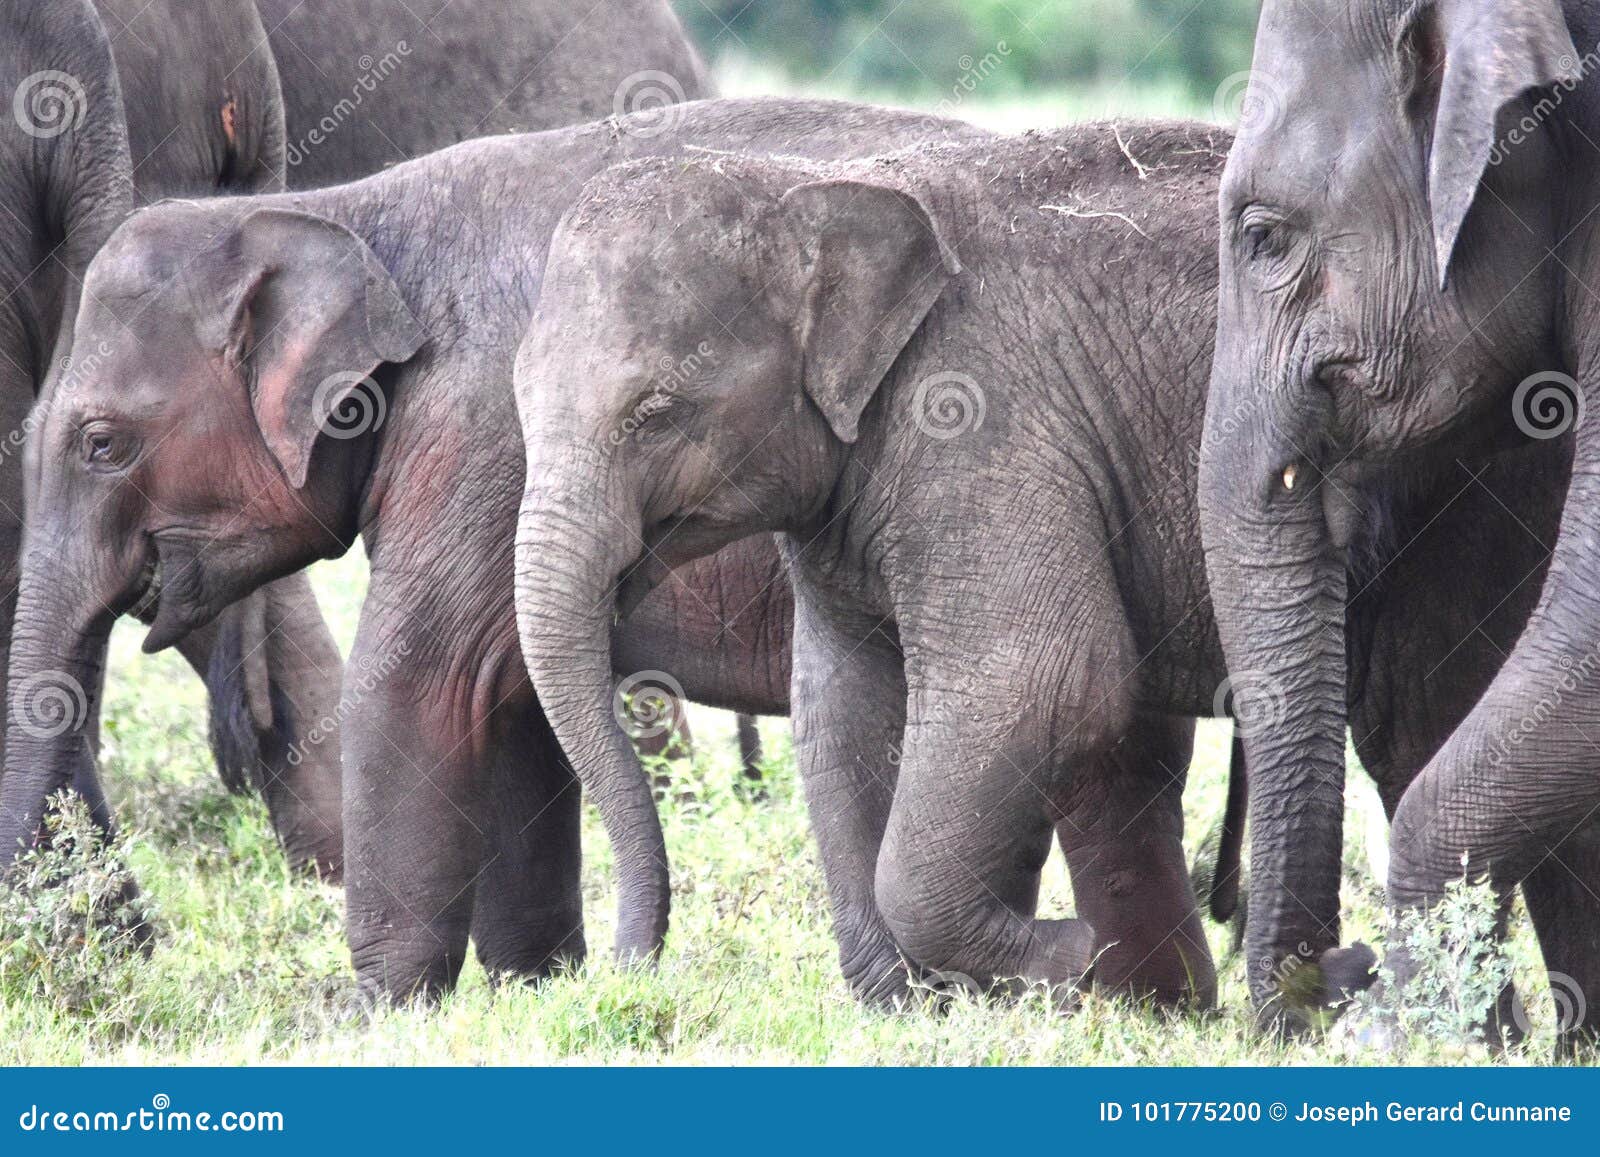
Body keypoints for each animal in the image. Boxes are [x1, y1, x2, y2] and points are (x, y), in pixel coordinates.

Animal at [0, 97, 1005, 1000]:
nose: (109, 937)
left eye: (102, 444)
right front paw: (539, 985)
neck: (350, 212)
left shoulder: (484, 439)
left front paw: (374, 1011)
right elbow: (508, 699)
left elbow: (418, 676)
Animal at [510, 118, 1587, 1023]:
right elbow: (843, 703)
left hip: (1484, 489)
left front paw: (1064, 962)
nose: (623, 972)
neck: (812, 188)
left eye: (654, 410)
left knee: (1421, 726)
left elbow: (1042, 673)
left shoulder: (980, 419)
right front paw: (916, 1007)